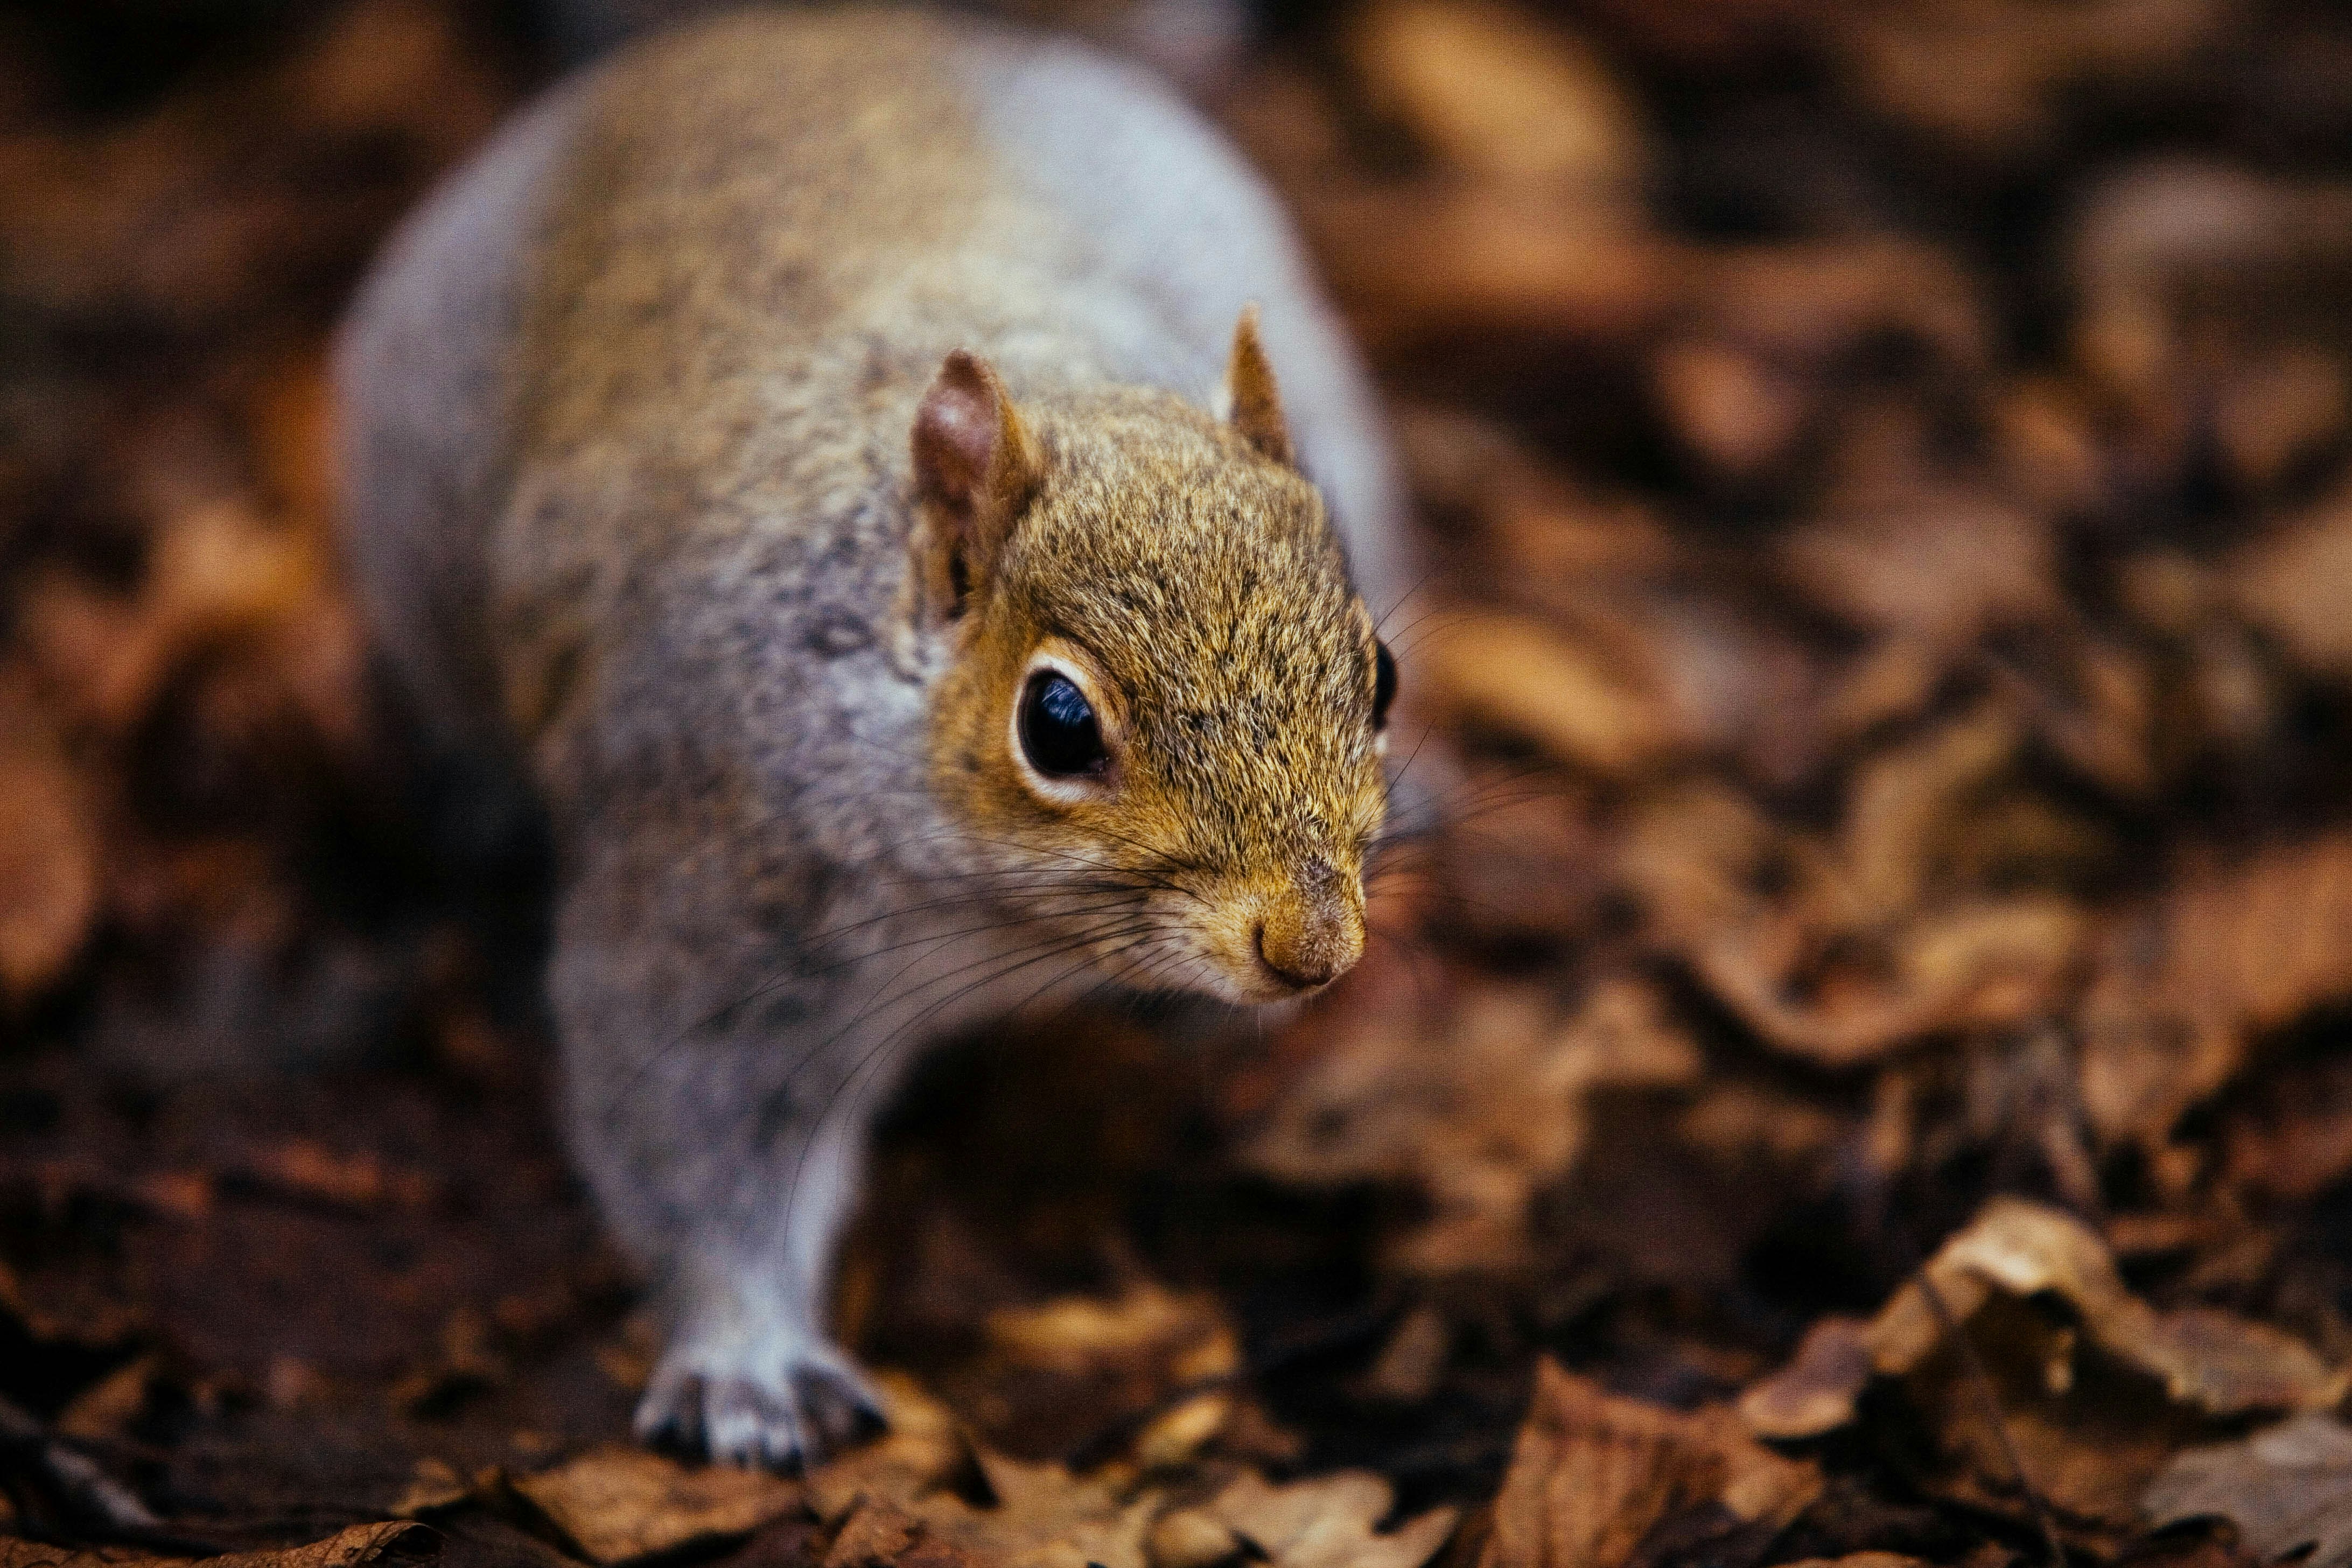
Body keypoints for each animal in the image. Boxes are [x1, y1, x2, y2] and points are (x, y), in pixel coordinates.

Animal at [335, 8, 1408, 1467]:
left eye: (1383, 673)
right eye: (1057, 724)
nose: (1314, 952)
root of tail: (756, 39)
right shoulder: (708, 874)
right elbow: (693, 1129)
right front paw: (746, 1363)